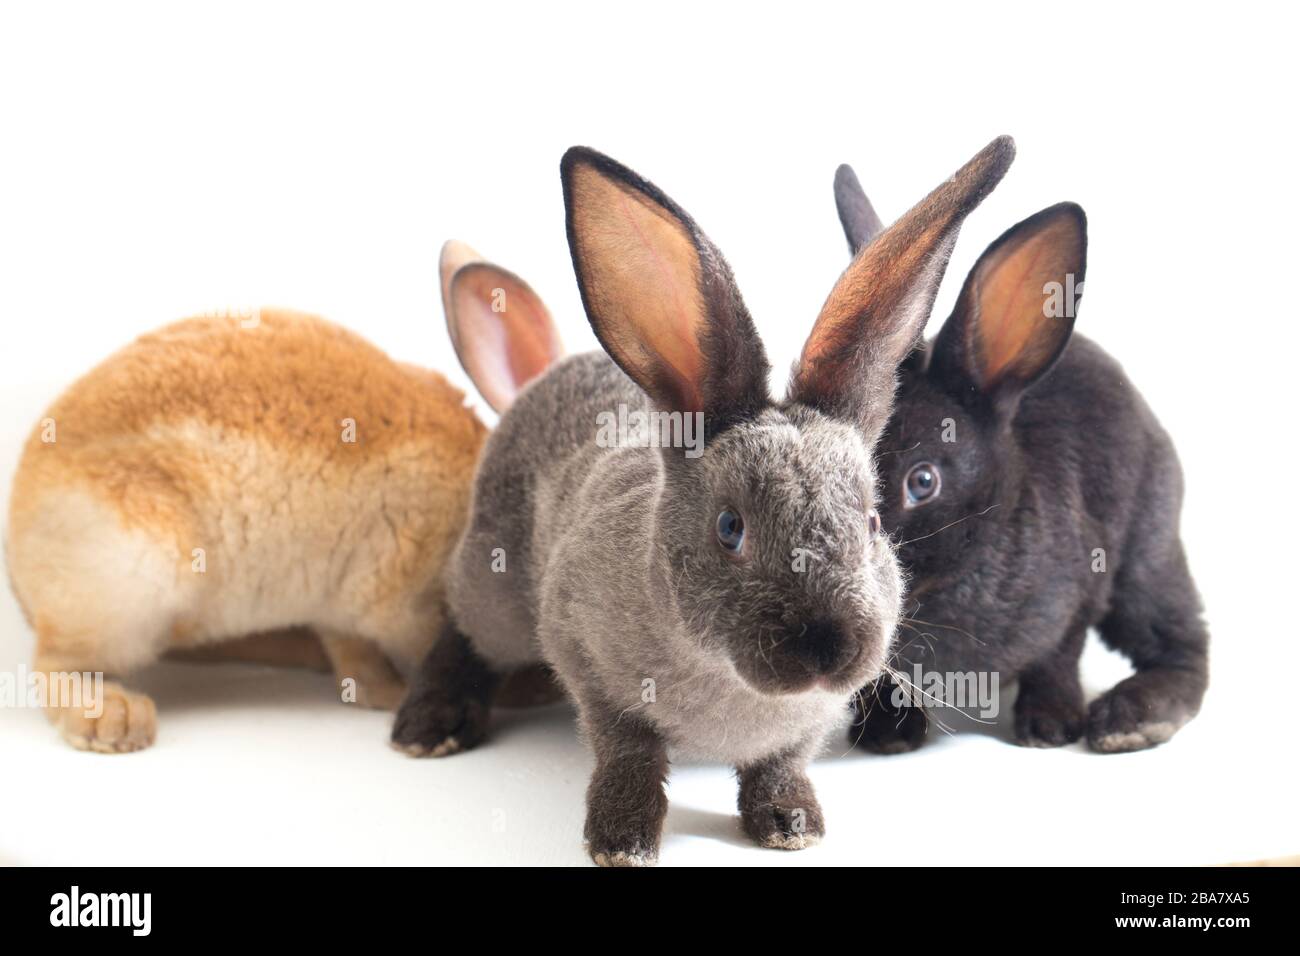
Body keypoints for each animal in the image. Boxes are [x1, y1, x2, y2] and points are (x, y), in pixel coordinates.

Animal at [6, 247, 562, 753]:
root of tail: (20, 576)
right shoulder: (407, 601)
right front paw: (525, 689)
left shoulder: (342, 598)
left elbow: (353, 653)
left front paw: (381, 690)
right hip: (134, 584)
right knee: (55, 664)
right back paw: (115, 720)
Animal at [391, 137, 1016, 866]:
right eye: (729, 527)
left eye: (871, 522)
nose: (828, 648)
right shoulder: (586, 660)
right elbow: (628, 752)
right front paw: (623, 841)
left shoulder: (803, 728)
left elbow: (780, 763)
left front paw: (791, 825)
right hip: (494, 588)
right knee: (464, 629)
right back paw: (426, 728)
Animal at [830, 166, 1210, 755]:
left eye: (923, 481)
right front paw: (887, 735)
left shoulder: (1080, 590)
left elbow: (1057, 657)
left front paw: (1049, 727)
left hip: (1147, 552)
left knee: (1183, 642)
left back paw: (1130, 721)